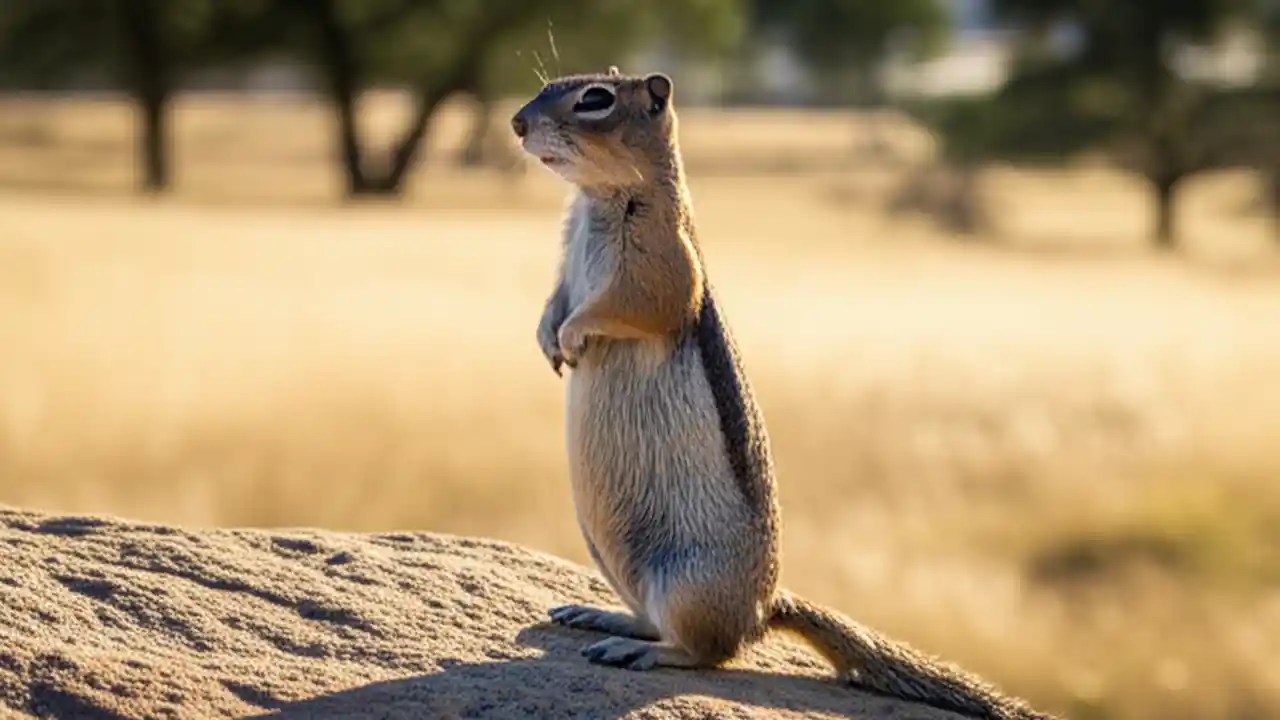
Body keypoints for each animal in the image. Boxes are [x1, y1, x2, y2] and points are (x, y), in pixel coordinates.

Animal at [511, 67, 1053, 720]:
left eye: (595, 100)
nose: (517, 122)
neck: (597, 198)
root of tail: (762, 608)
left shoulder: (661, 263)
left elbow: (631, 306)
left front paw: (572, 335)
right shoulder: (566, 261)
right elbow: (556, 299)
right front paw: (547, 336)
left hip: (687, 585)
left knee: (708, 652)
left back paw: (641, 650)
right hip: (618, 563)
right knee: (661, 621)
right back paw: (602, 616)